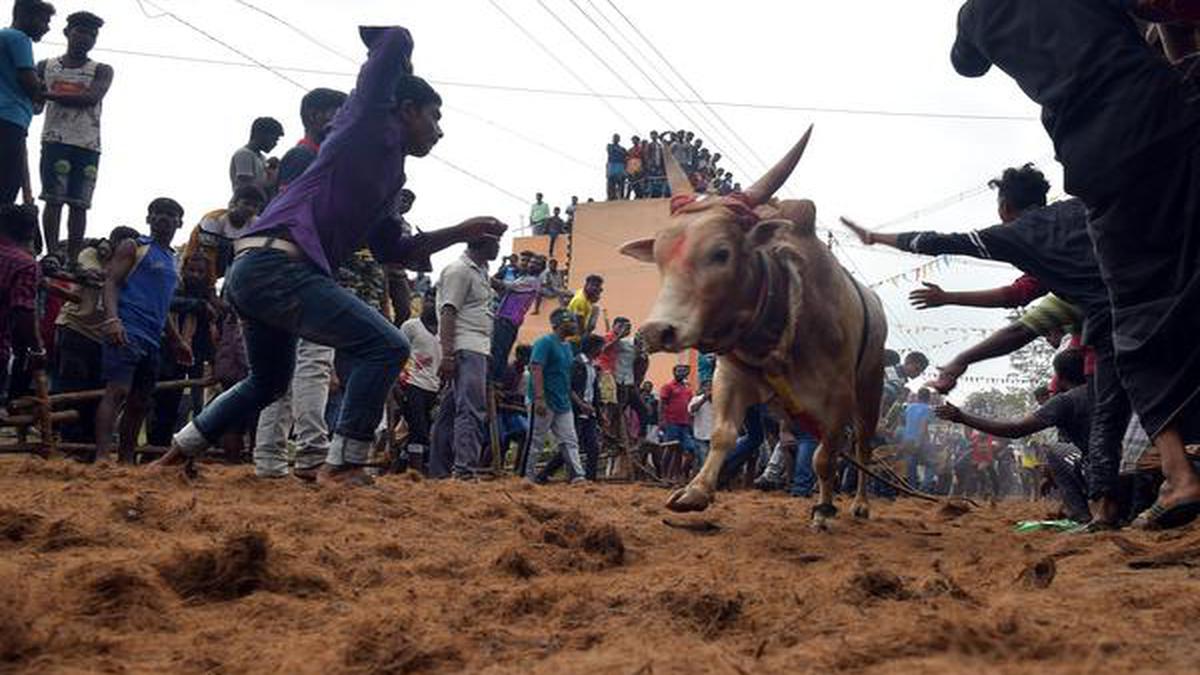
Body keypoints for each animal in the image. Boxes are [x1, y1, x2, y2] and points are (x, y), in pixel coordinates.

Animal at [619, 127, 892, 526]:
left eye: (721, 253)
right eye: (659, 257)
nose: (656, 331)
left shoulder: (838, 400)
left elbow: (825, 458)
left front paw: (824, 510)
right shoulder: (731, 378)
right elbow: (723, 435)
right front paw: (695, 491)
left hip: (870, 390)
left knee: (862, 446)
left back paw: (856, 504)